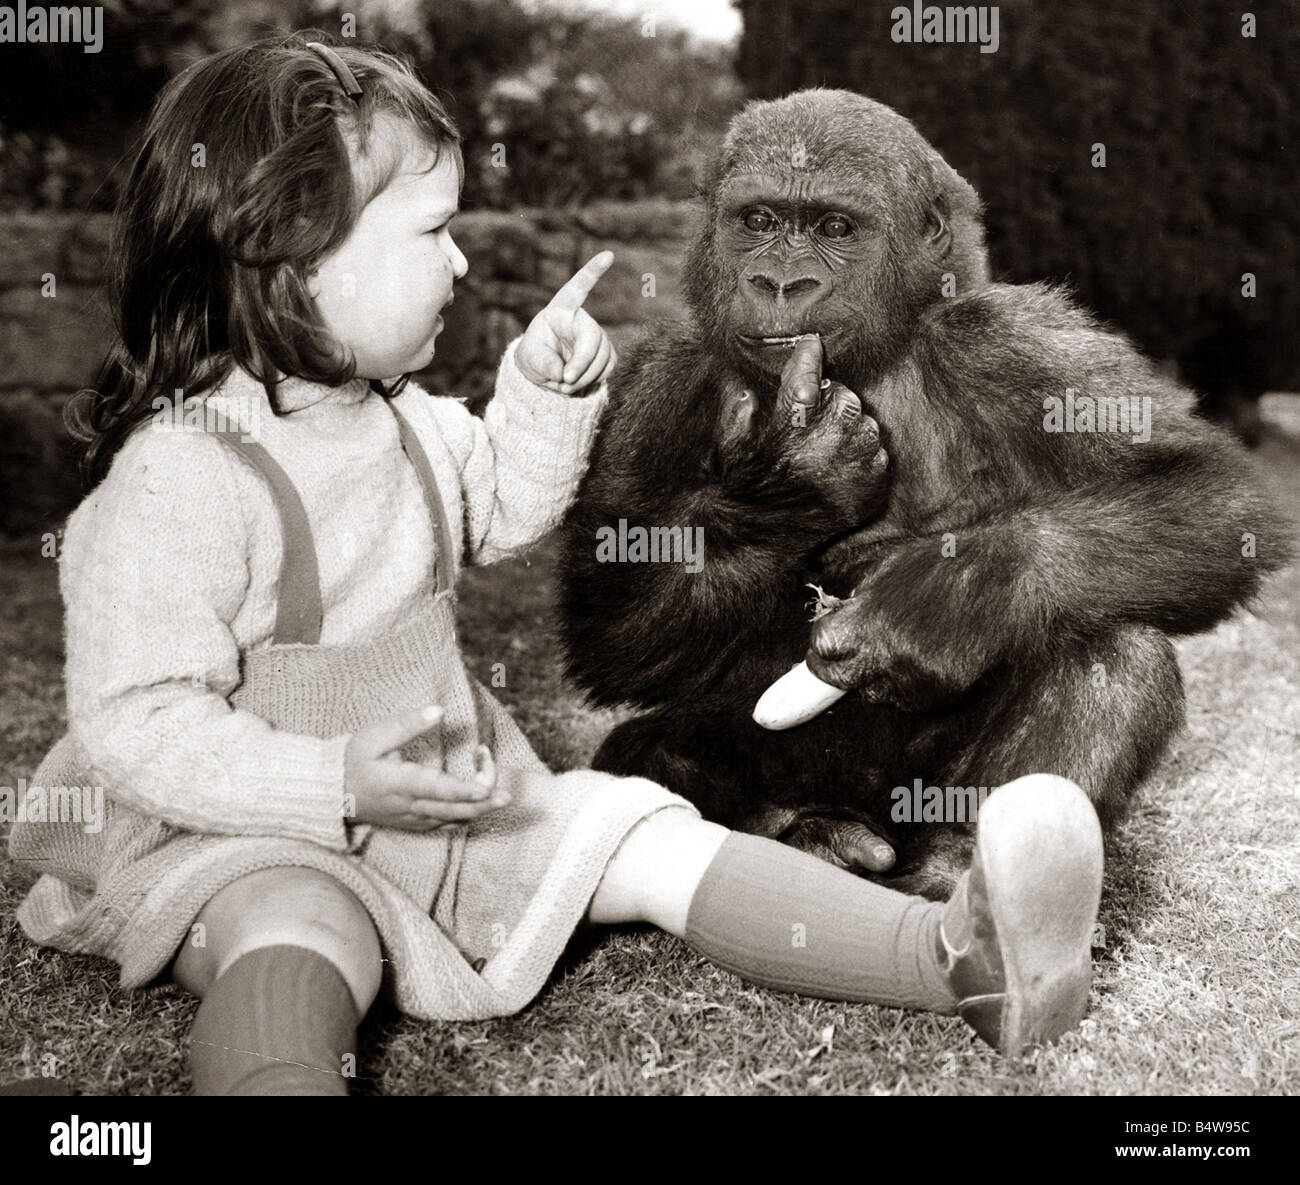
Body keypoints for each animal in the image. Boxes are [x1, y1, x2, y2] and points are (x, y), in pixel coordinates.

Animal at [557, 89, 1290, 898]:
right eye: (758, 220)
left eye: (834, 228)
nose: (778, 283)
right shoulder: (658, 381)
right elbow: (617, 632)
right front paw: (797, 483)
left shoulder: (1012, 336)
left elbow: (1207, 493)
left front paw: (942, 598)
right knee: (647, 758)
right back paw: (809, 836)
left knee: (1108, 647)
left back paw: (959, 868)